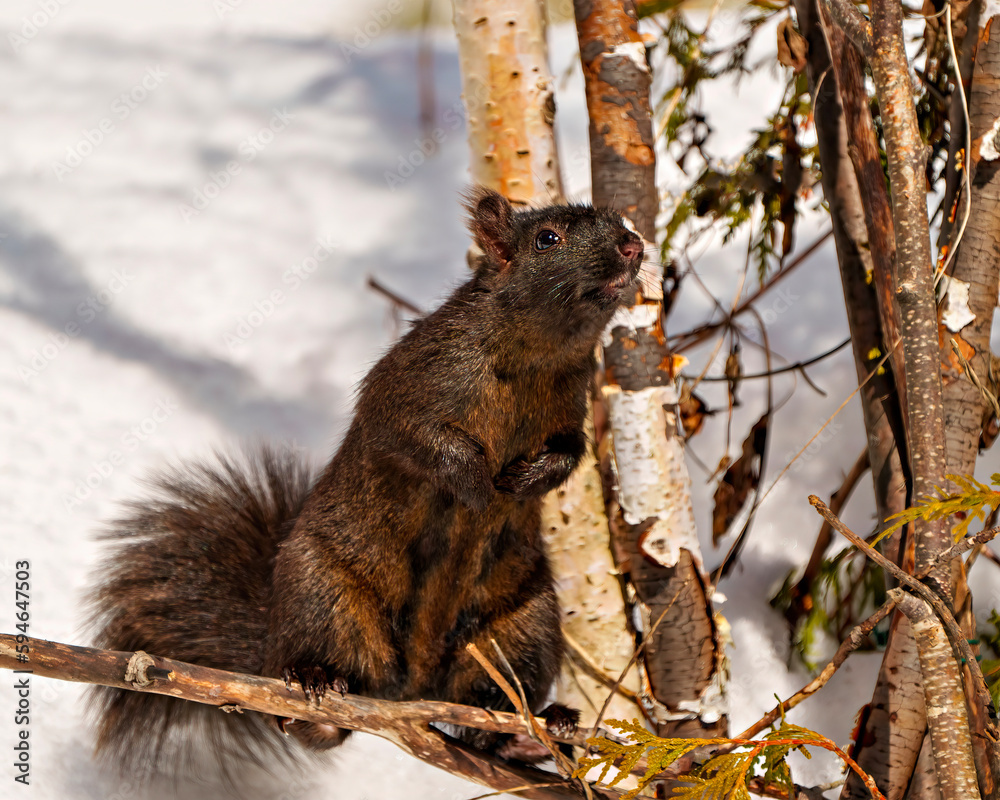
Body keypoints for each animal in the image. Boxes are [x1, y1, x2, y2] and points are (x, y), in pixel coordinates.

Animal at [86, 187, 644, 778]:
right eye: (547, 239)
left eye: (618, 221)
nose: (633, 245)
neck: (540, 356)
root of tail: (409, 690)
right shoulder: (408, 384)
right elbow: (420, 437)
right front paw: (476, 483)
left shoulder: (571, 404)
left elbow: (571, 450)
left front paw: (528, 478)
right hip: (324, 598)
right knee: (327, 713)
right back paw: (313, 692)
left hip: (521, 627)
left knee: (484, 714)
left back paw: (534, 733)